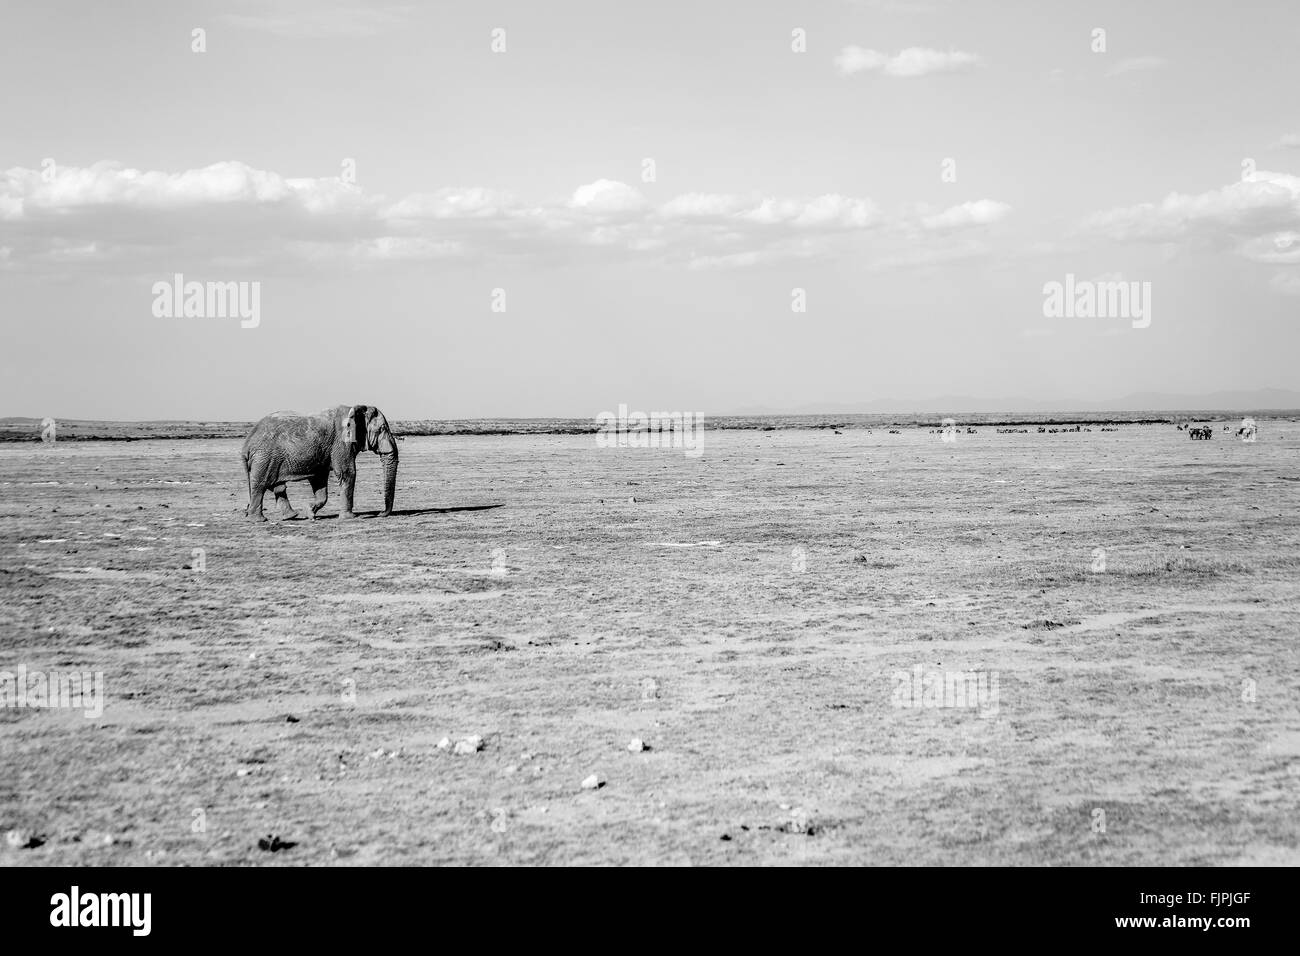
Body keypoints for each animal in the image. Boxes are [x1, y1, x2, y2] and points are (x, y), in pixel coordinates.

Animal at [241, 405, 398, 521]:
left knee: (277, 486)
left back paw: (291, 516)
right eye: (382, 429)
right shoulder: (341, 442)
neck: (356, 408)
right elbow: (348, 473)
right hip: (264, 457)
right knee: (260, 485)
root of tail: (247, 443)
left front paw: (310, 512)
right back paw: (258, 520)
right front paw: (350, 518)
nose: (379, 514)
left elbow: (319, 480)